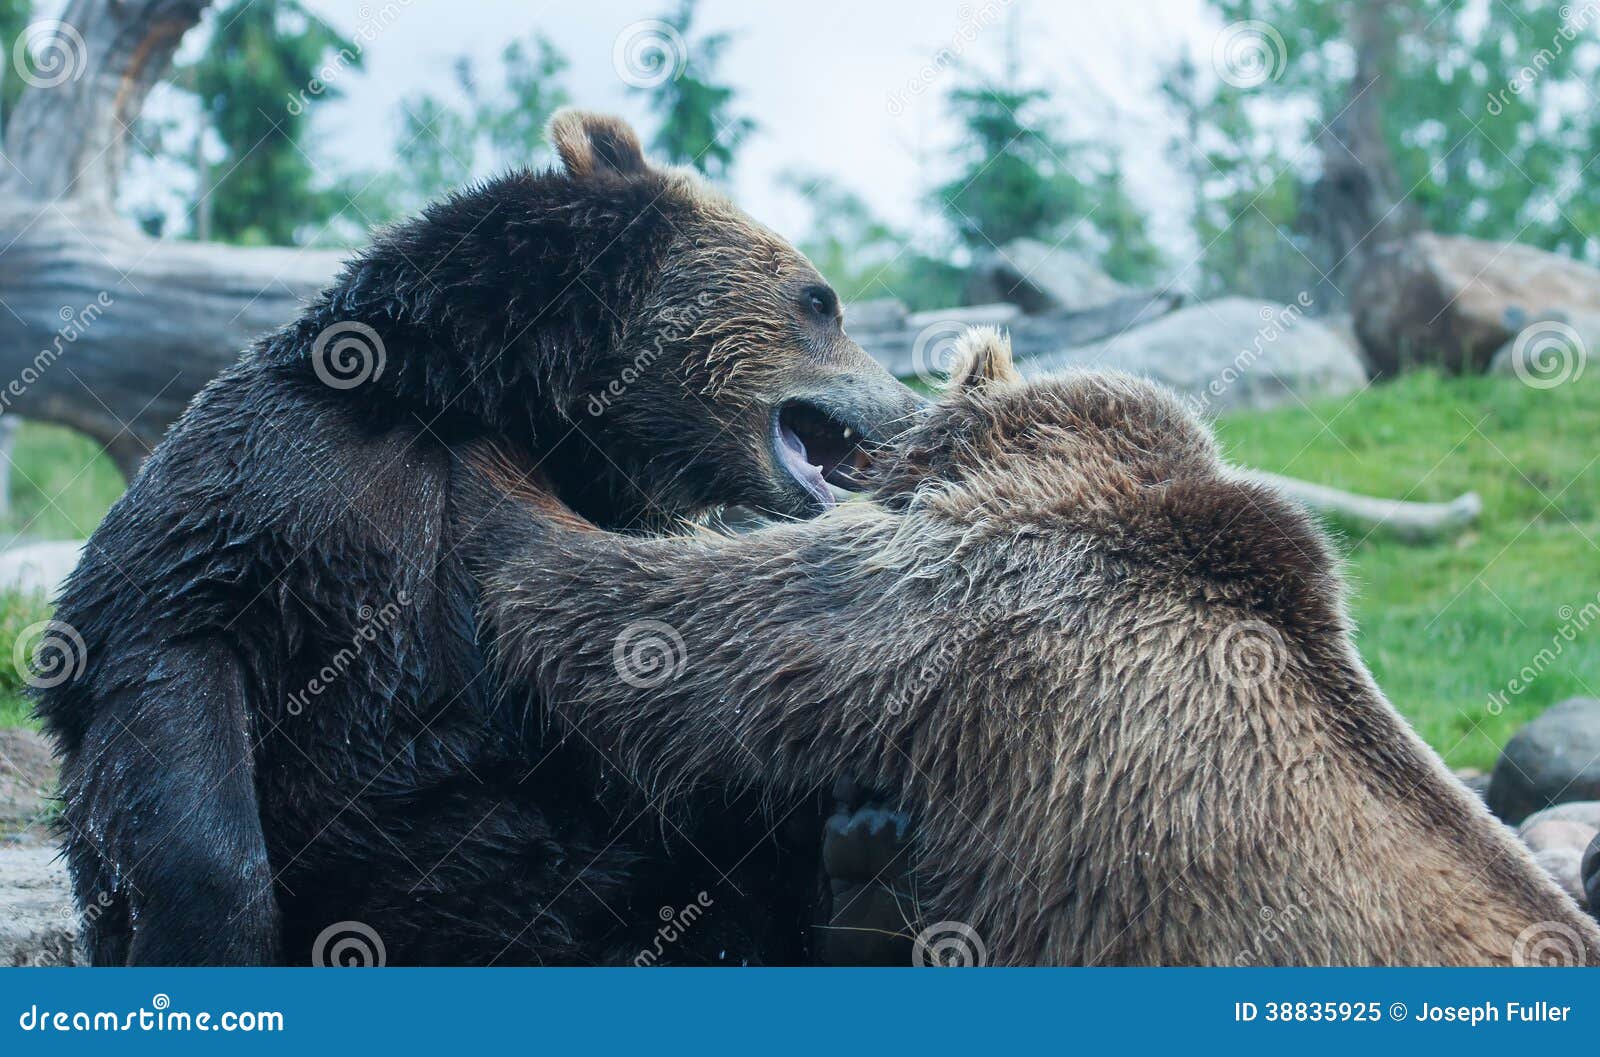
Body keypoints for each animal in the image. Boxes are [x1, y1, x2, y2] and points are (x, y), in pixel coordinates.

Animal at [36, 110, 925, 966]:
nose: (912, 407)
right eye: (820, 300)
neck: (495, 401)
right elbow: (174, 659)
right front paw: (207, 933)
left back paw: (862, 887)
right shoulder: (281, 483)